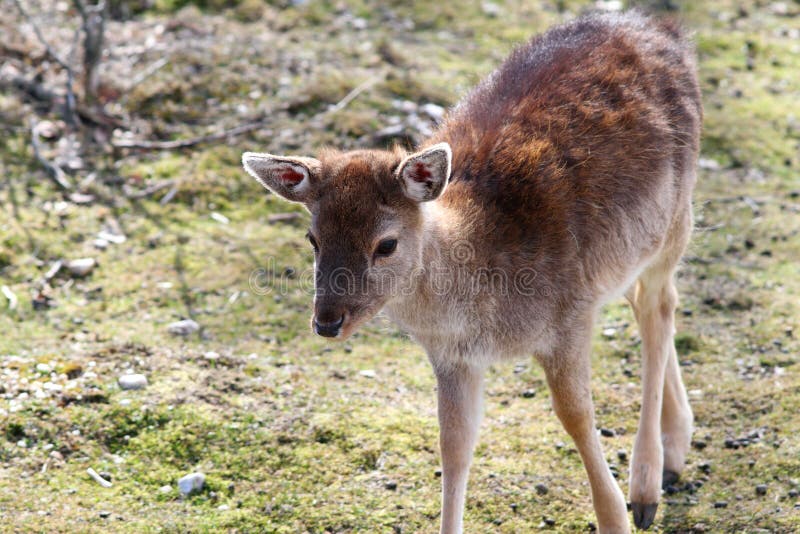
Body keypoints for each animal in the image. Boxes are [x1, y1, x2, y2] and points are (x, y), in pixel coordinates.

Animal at [242, 10, 701, 534]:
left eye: (386, 244)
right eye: (312, 239)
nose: (326, 321)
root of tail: (658, 26)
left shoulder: (569, 318)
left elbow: (577, 416)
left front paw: (617, 516)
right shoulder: (453, 357)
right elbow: (454, 444)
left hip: (676, 218)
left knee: (659, 306)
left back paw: (645, 488)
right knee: (642, 301)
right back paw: (675, 449)